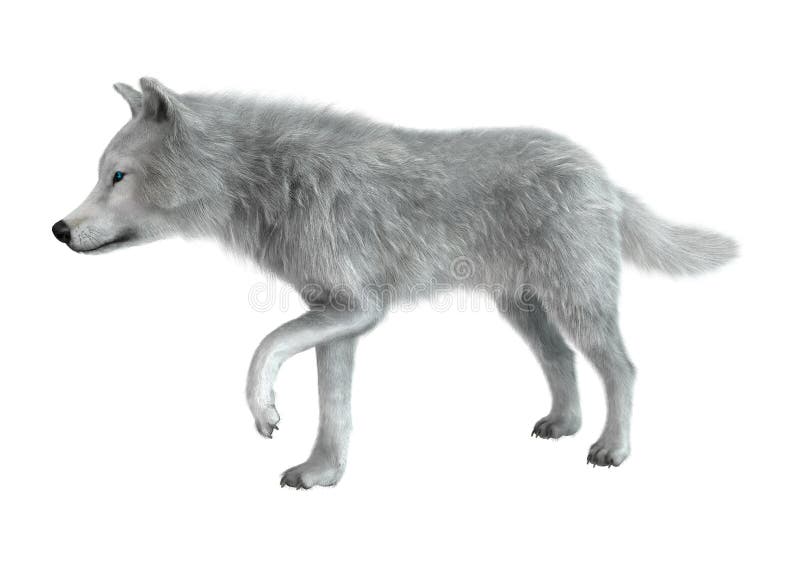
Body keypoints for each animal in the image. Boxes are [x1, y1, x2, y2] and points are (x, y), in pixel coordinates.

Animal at [53, 78, 737, 488]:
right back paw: (562, 426)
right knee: (562, 361)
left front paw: (266, 412)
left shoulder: (355, 310)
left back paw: (612, 449)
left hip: (577, 304)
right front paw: (322, 473)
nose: (59, 229)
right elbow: (333, 409)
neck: (272, 179)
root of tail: (602, 174)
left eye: (116, 176)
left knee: (622, 367)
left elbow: (262, 349)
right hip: (524, 309)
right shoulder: (335, 319)